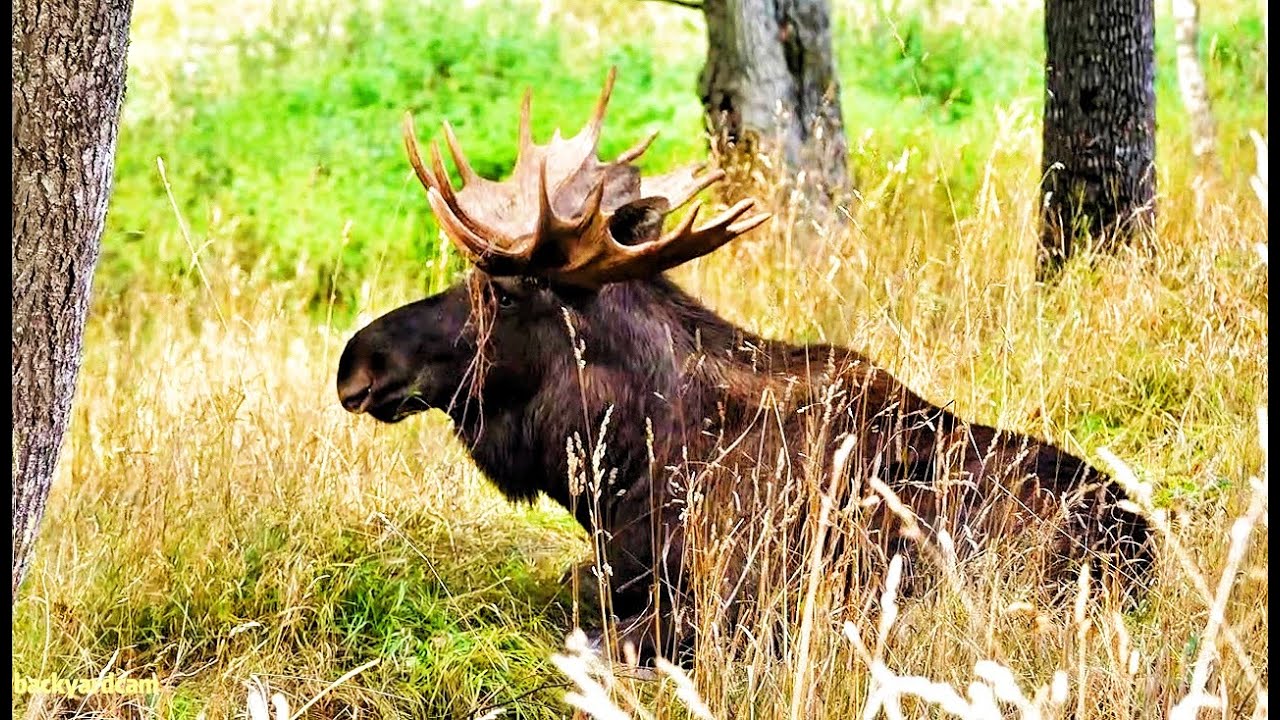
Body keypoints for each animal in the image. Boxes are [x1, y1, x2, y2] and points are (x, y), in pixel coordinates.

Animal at [335, 69, 1152, 662]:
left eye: (500, 292)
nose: (356, 360)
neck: (625, 456)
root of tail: (1140, 545)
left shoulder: (734, 597)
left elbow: (598, 641)